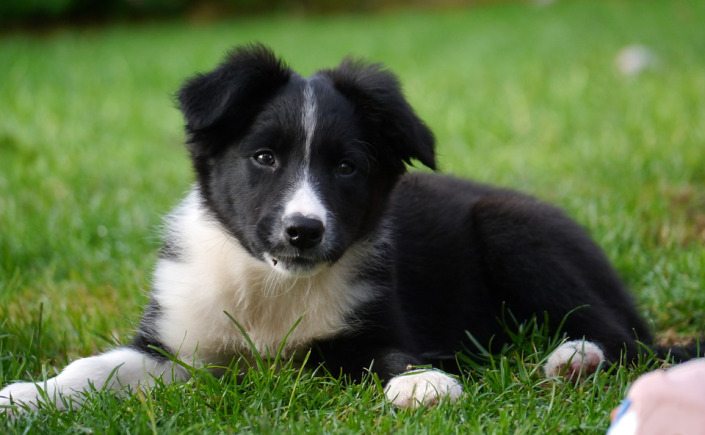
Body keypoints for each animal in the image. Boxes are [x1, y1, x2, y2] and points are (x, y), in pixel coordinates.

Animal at [0, 45, 684, 416]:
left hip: (513, 232)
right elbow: (95, 367)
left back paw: (572, 360)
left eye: (347, 167)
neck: (270, 287)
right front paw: (27, 394)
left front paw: (422, 383)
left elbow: (389, 353)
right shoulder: (178, 349)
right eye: (264, 157)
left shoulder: (370, 328)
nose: (303, 231)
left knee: (629, 340)